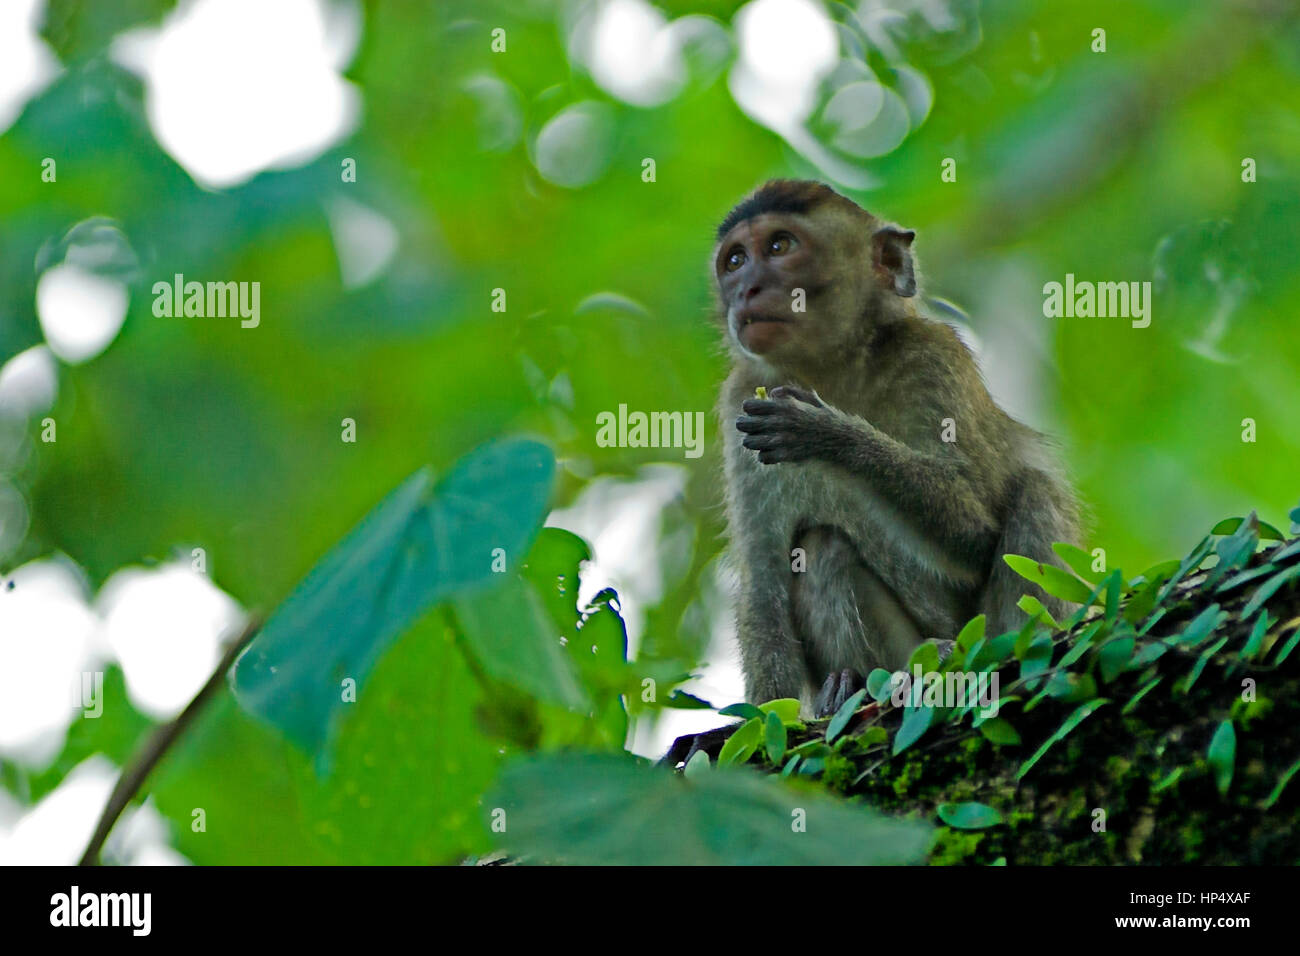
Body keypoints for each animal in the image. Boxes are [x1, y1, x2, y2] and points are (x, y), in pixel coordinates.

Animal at [711, 179, 1081, 718]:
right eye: (735, 260)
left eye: (780, 246)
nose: (746, 290)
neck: (833, 369)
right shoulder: (739, 398)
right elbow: (764, 585)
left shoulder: (932, 355)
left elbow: (973, 538)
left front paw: (828, 433)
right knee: (821, 548)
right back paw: (851, 683)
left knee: (1035, 489)